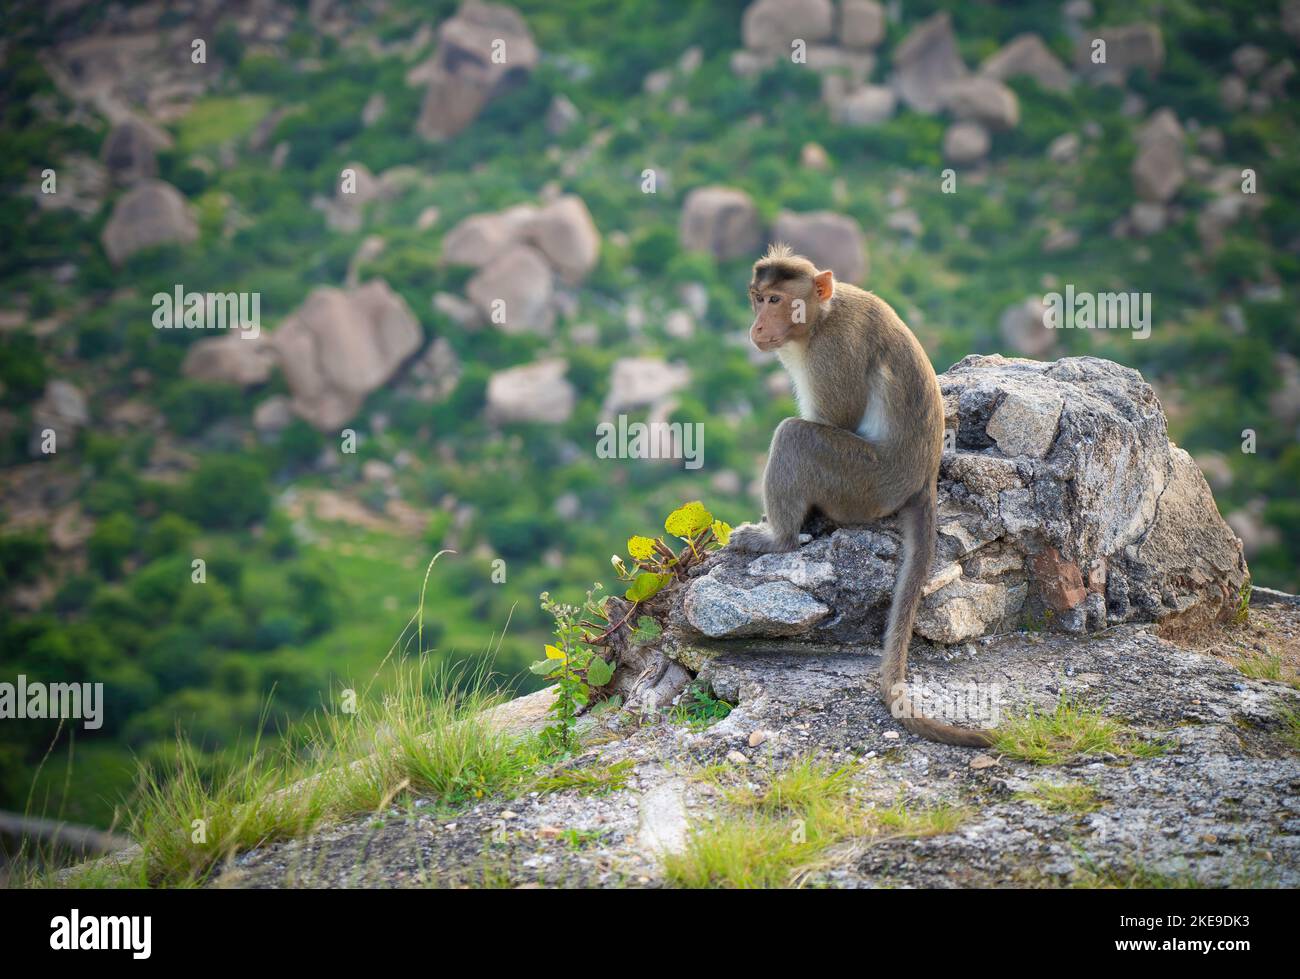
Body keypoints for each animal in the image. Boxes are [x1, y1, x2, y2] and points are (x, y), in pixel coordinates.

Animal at [727, 243, 992, 748]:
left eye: (775, 300)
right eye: (757, 298)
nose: (756, 326)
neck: (820, 318)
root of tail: (922, 481)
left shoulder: (833, 352)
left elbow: (833, 421)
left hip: (861, 485)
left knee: (795, 437)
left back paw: (777, 539)